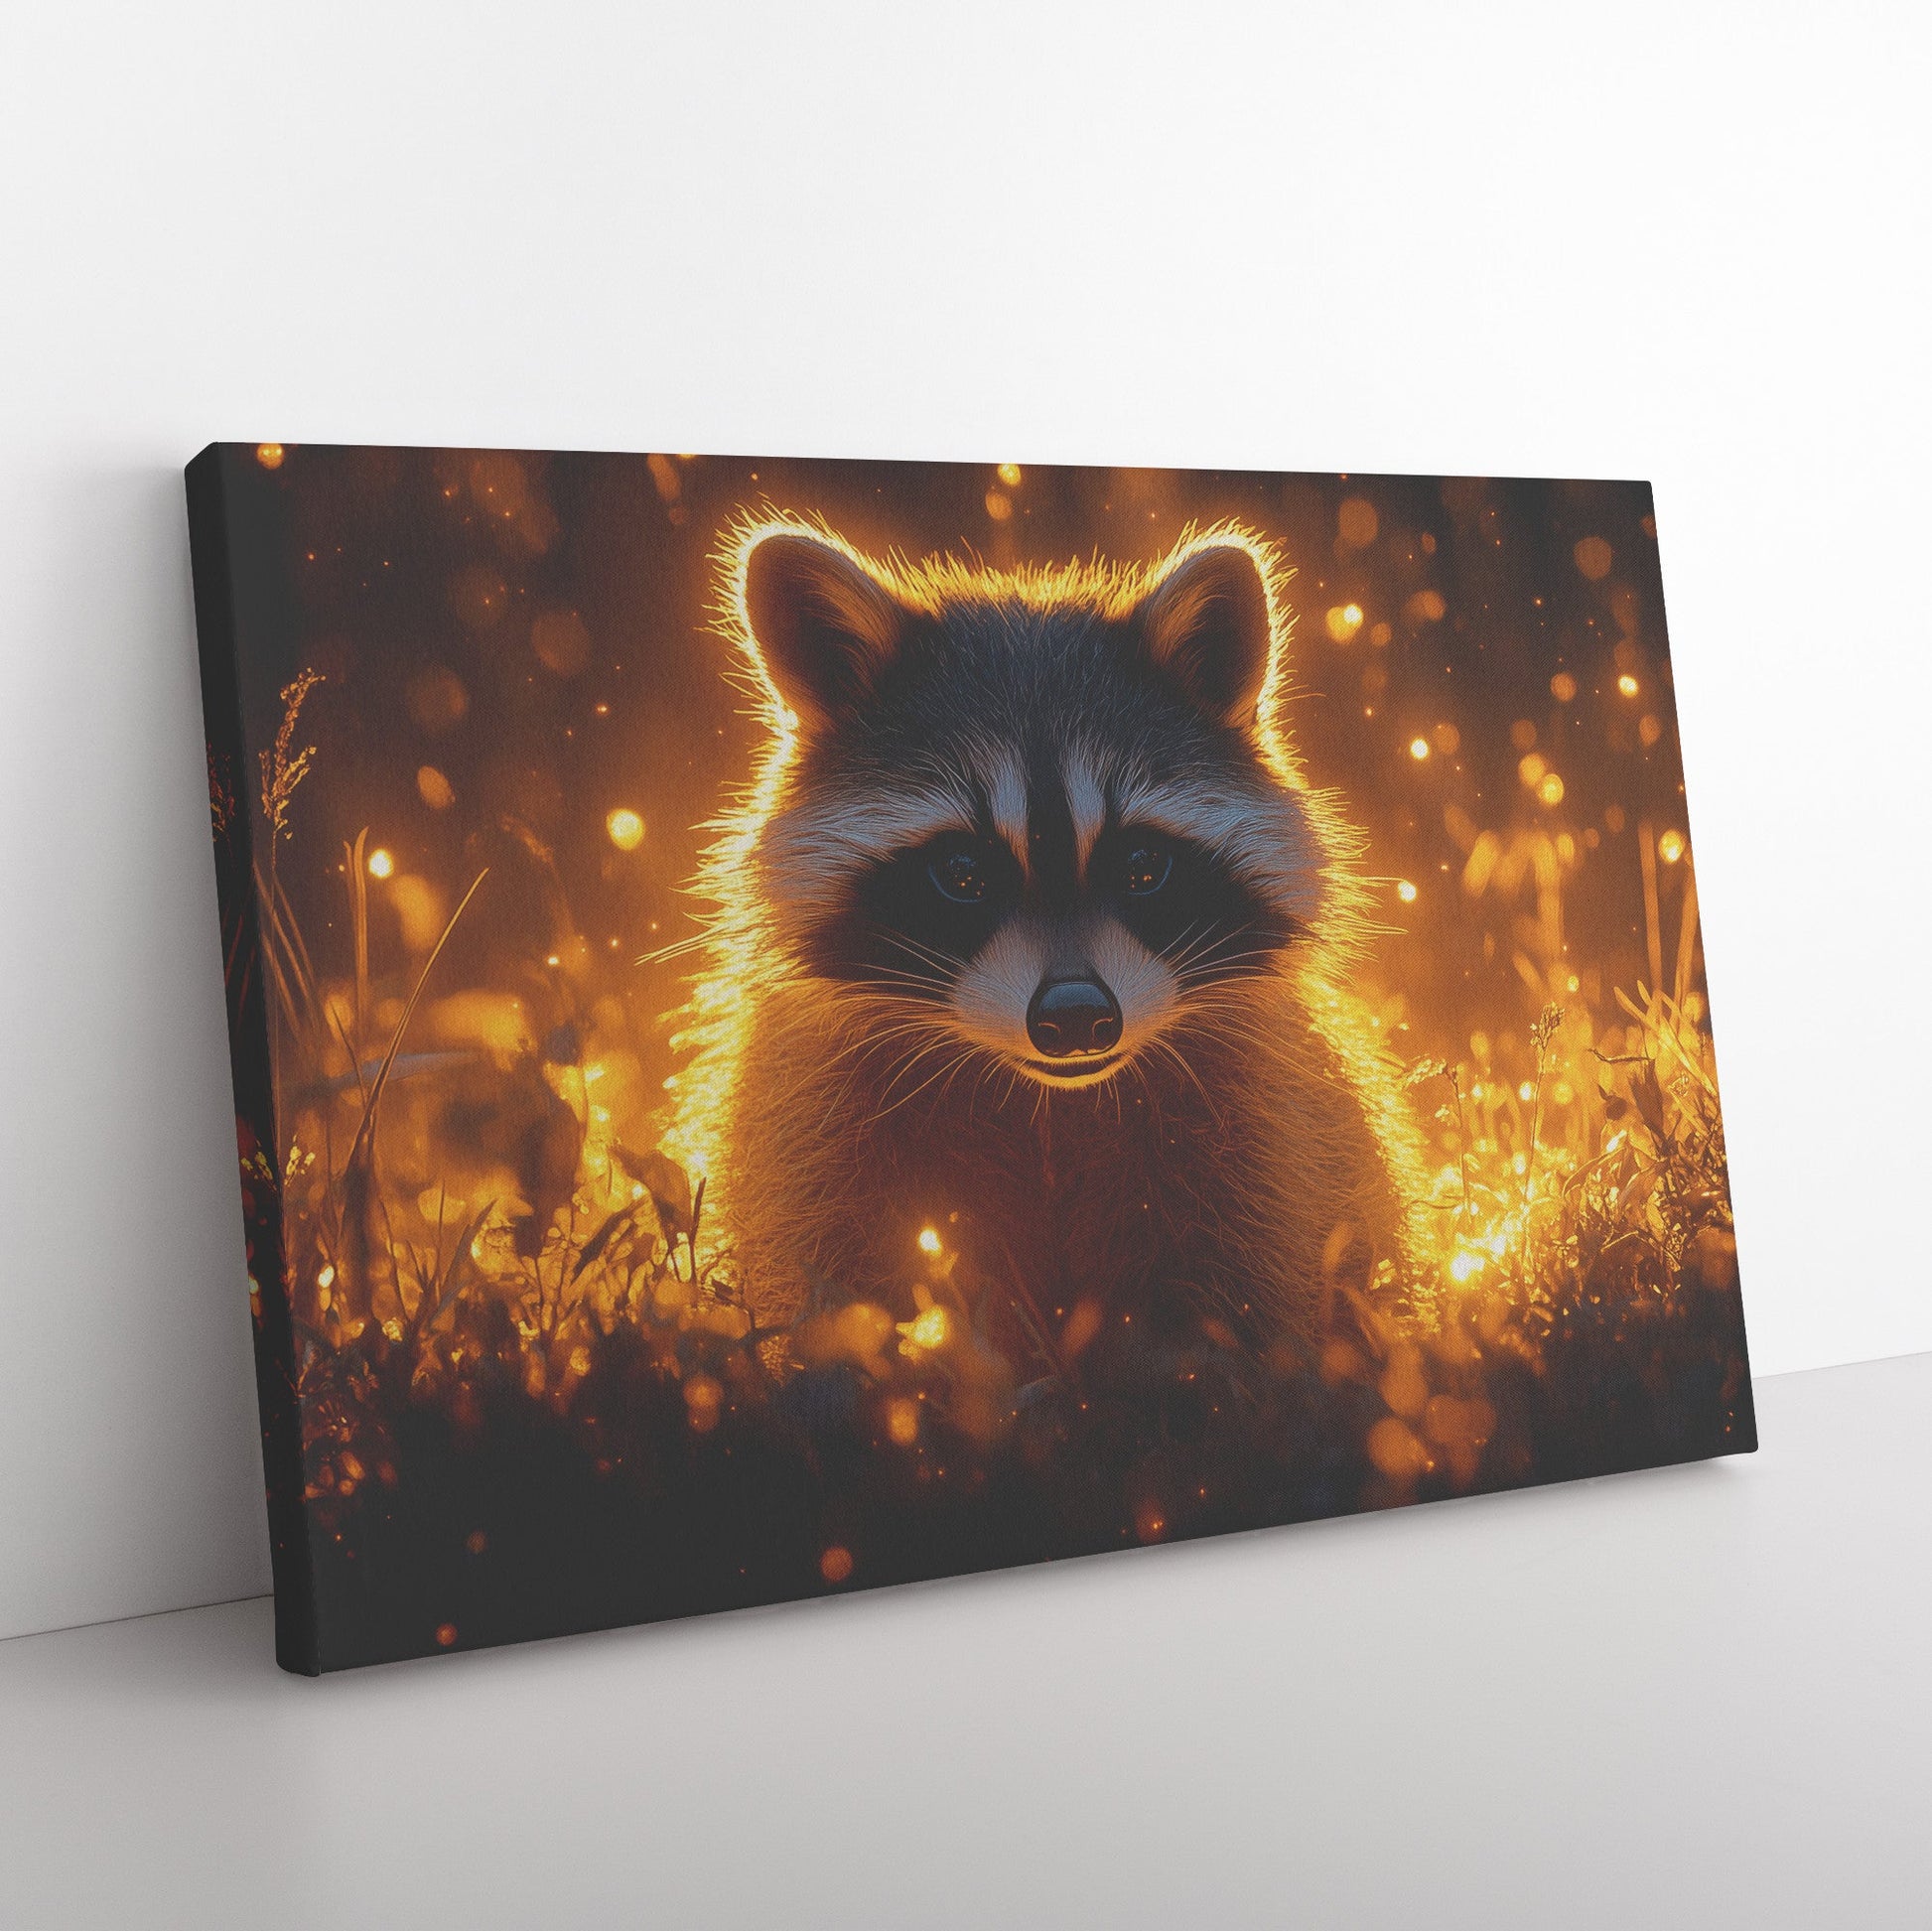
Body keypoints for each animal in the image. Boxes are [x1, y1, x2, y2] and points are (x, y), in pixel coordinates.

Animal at [667, 515, 1428, 1362]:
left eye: (1141, 866)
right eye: (963, 872)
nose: (1074, 1017)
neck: (1049, 1104)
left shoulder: (1267, 1129)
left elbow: (1257, 1294)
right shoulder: (811, 1125)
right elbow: (842, 1284)